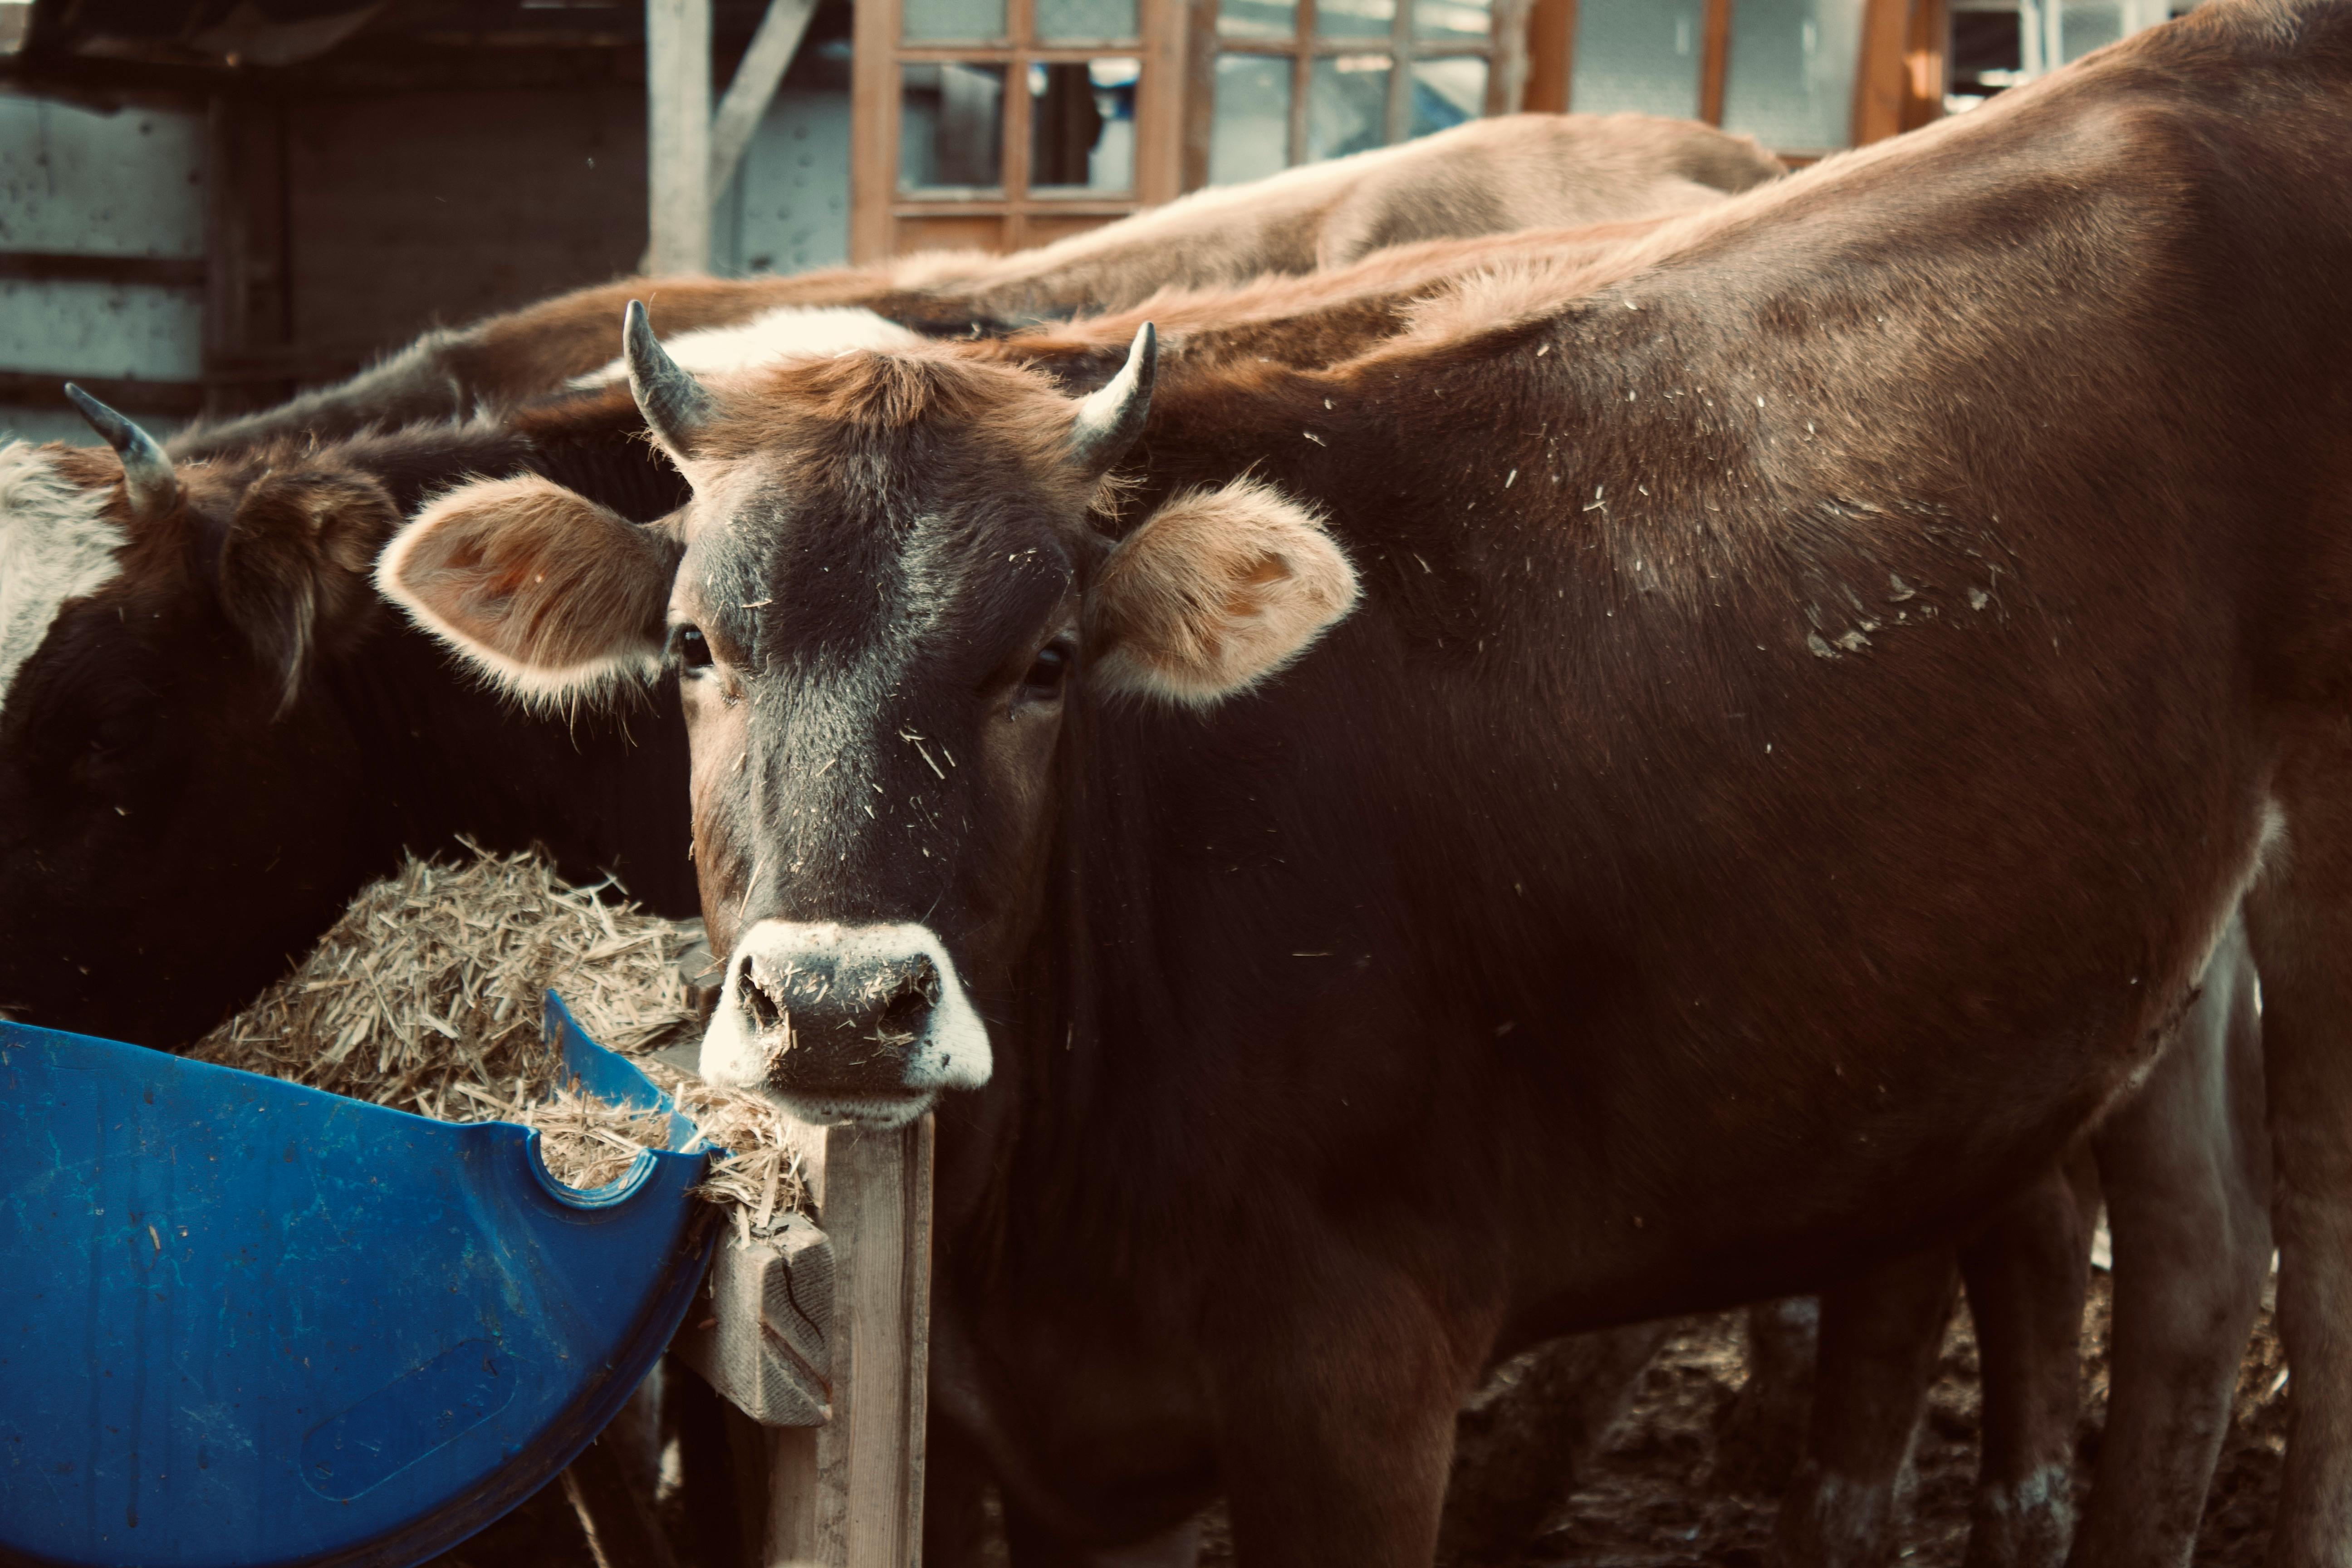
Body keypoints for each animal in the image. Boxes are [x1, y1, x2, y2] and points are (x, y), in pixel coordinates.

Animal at [376, 3, 2352, 1562]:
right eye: (695, 646)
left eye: (1048, 661)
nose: (843, 1005)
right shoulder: (1068, 1446)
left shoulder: (1353, 1375)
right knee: (2179, 1270)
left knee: (2311, 1268)